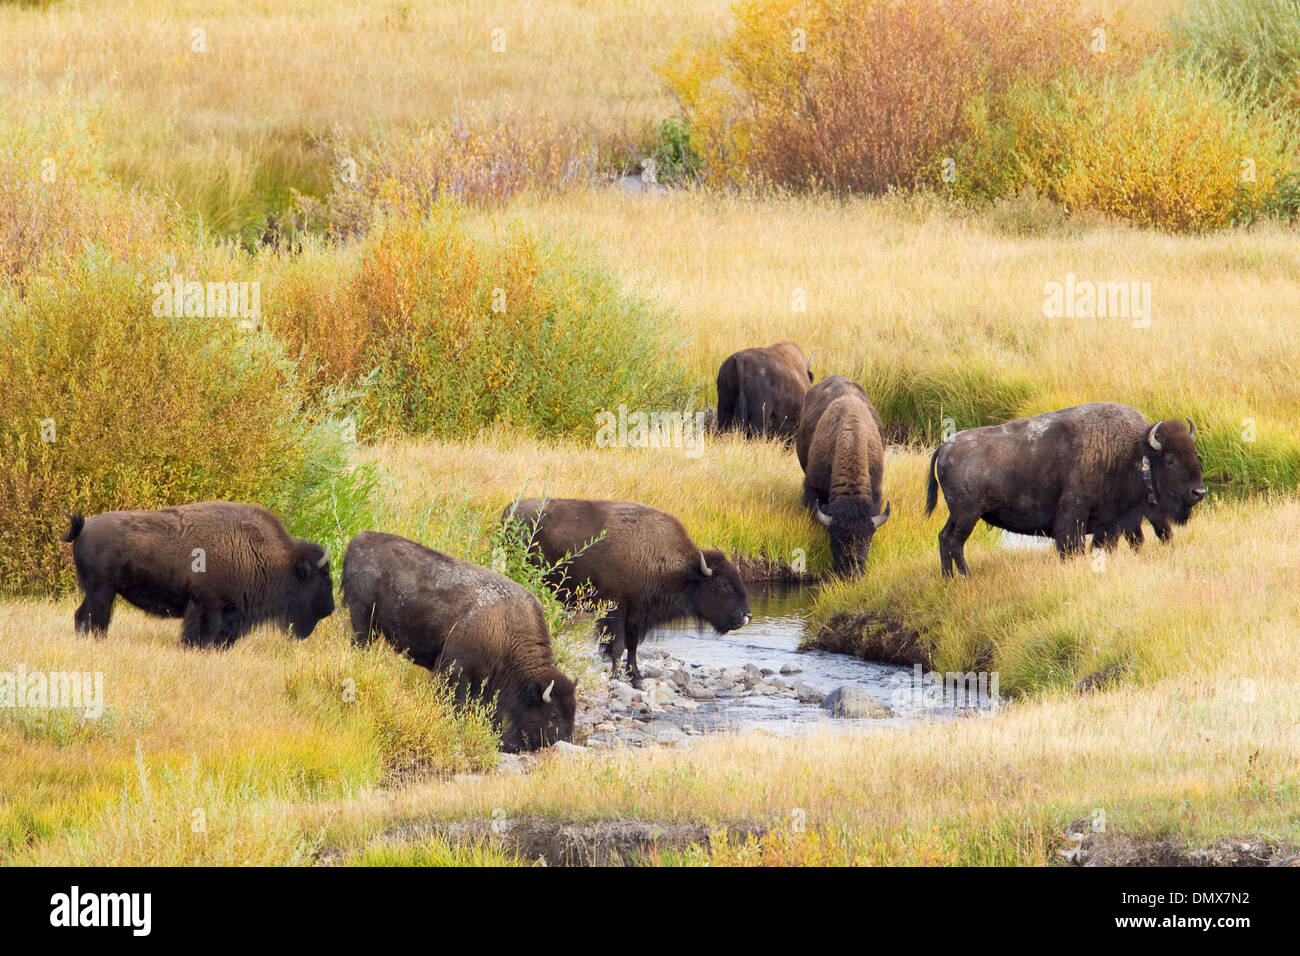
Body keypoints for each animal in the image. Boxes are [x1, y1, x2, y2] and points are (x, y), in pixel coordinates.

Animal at [62, 502, 334, 646]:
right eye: (322, 575)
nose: (330, 608)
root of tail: (83, 527)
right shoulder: (208, 606)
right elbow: (198, 633)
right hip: (102, 591)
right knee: (95, 619)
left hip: (98, 591)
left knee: (83, 616)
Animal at [342, 531, 576, 752]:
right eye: (553, 715)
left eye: (573, 712)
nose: (563, 741)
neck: (507, 628)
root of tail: (358, 539)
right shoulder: (453, 669)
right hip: (363, 617)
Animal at [501, 498, 751, 687]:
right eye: (722, 585)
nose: (746, 616)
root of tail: (509, 511)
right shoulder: (615, 611)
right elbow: (617, 646)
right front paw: (615, 676)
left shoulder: (638, 616)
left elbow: (632, 647)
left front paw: (636, 677)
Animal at [925, 402, 1207, 577]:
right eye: (1169, 460)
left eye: (1195, 455)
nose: (1199, 492)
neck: (1130, 454)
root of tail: (945, 446)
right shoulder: (1074, 518)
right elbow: (1072, 546)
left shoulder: (1112, 524)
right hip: (967, 515)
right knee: (954, 541)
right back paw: (964, 576)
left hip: (959, 515)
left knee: (944, 538)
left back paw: (950, 578)